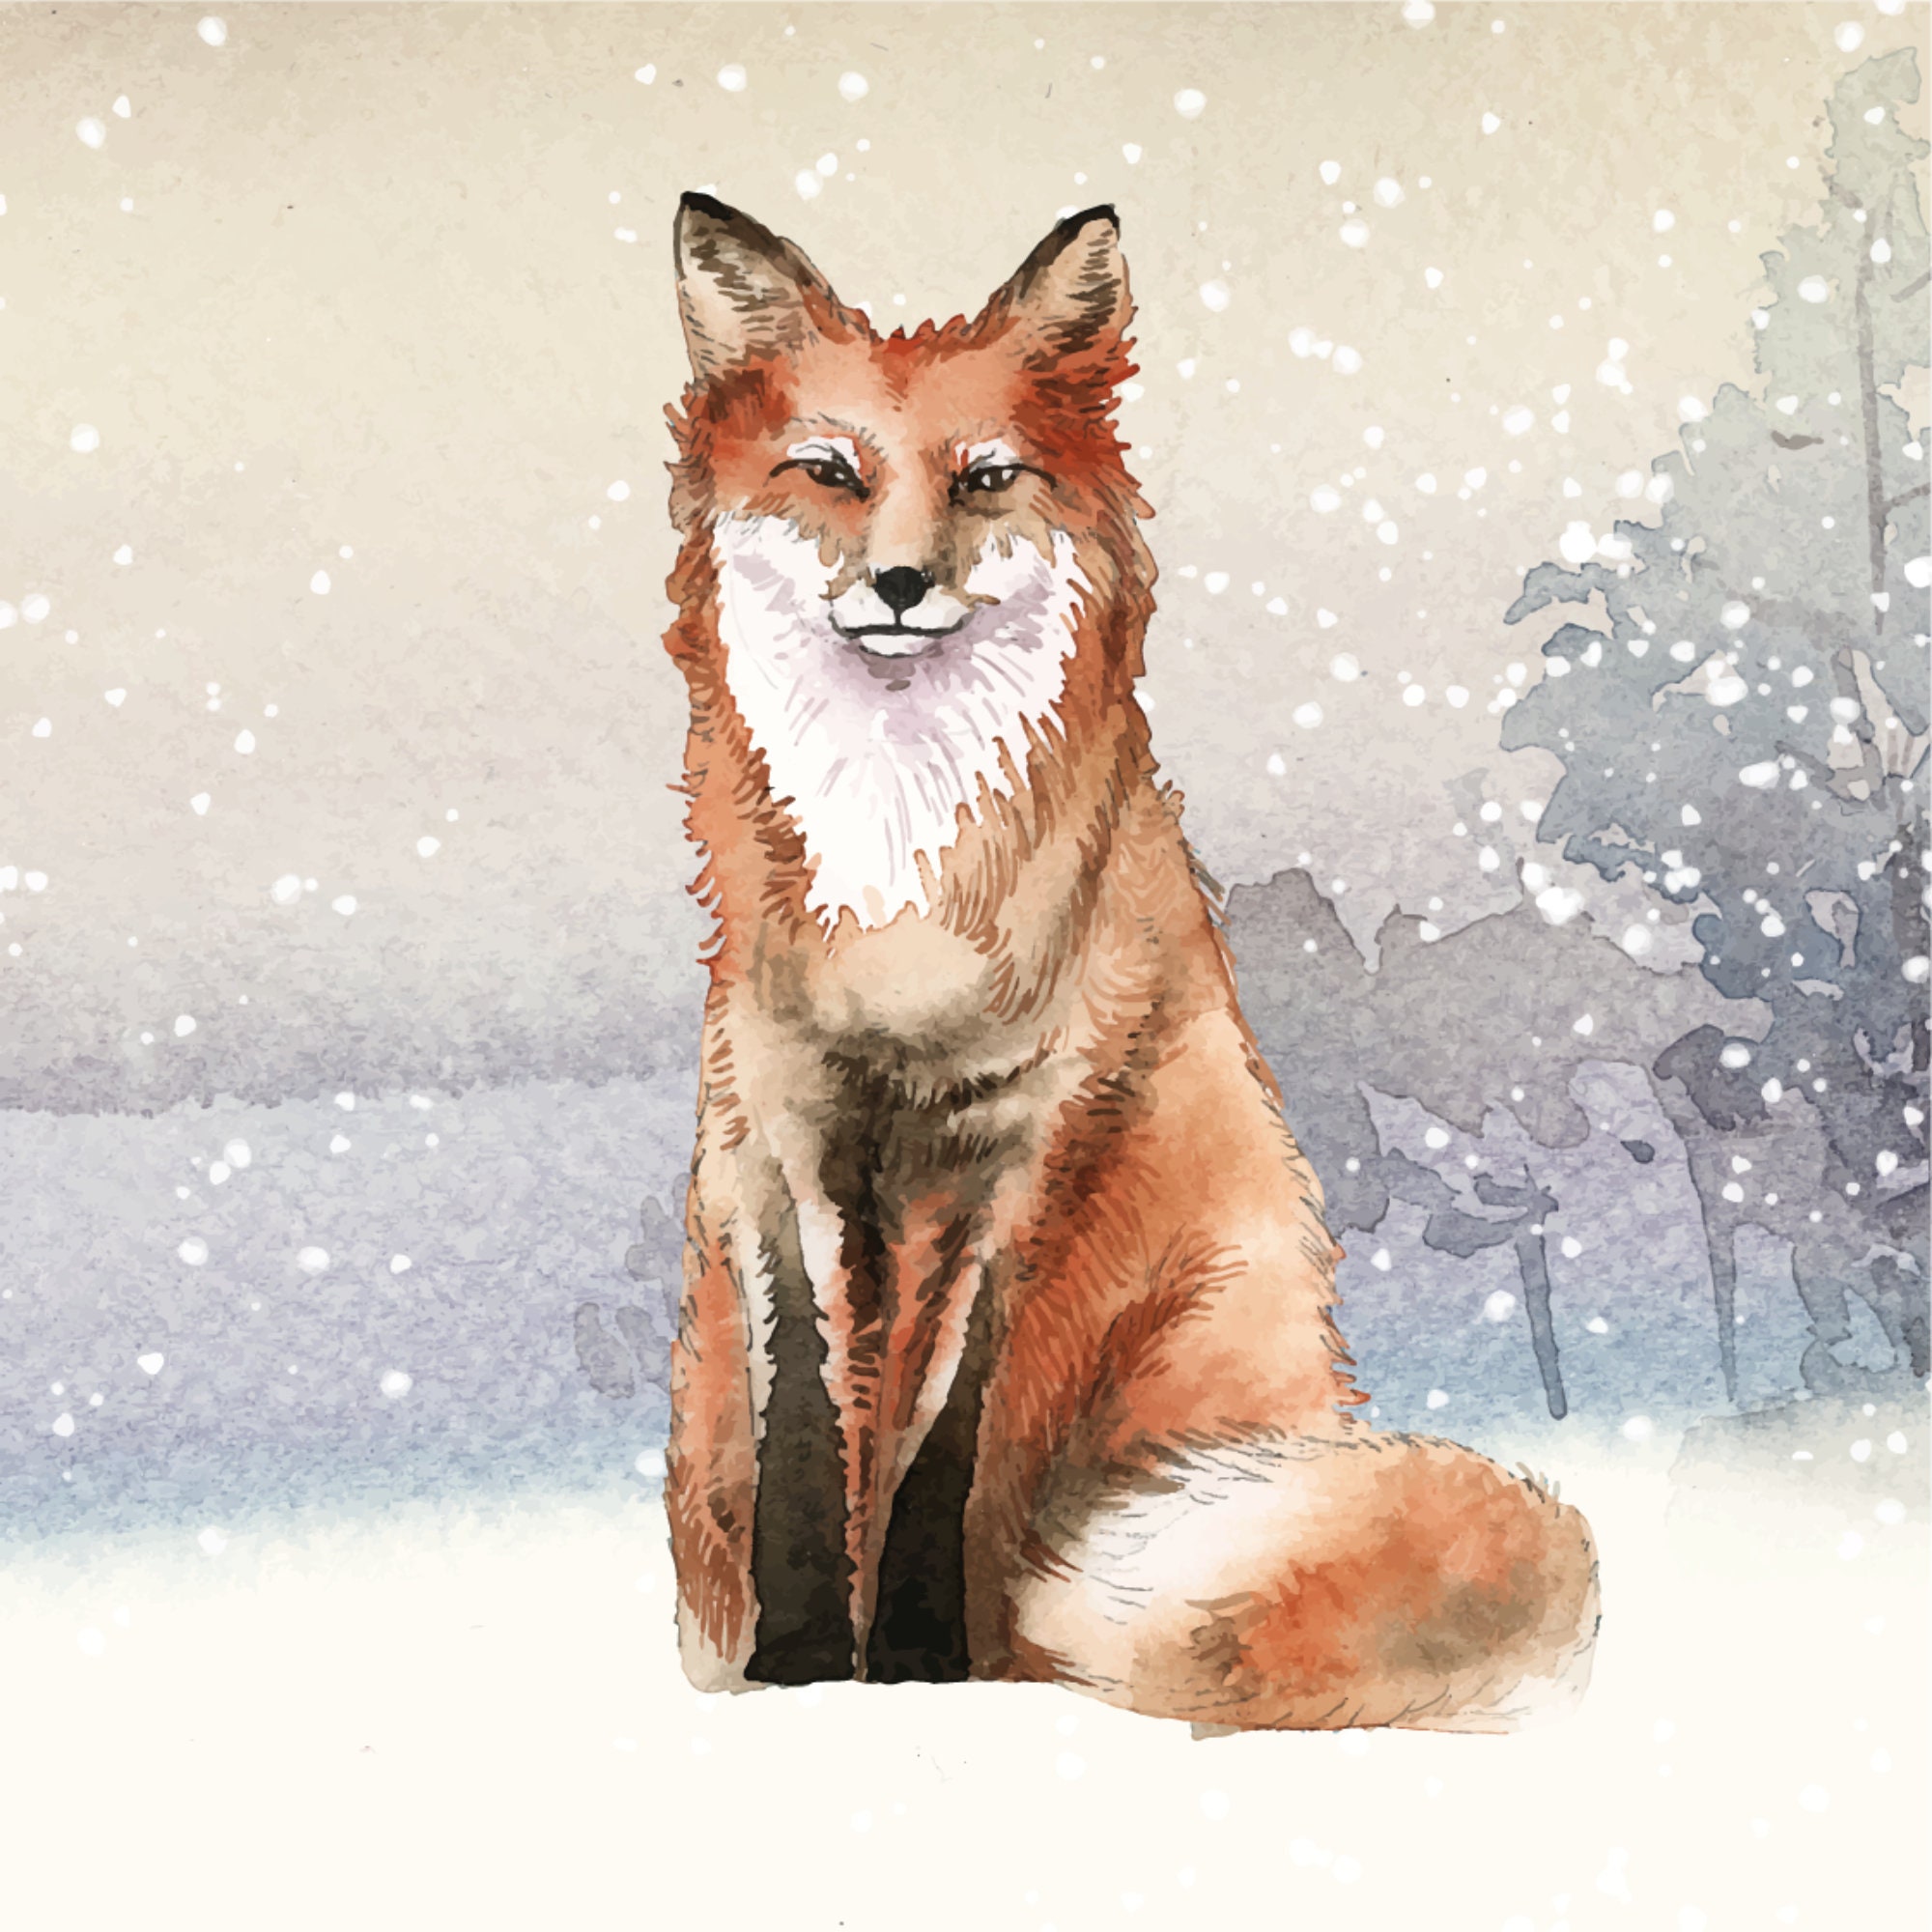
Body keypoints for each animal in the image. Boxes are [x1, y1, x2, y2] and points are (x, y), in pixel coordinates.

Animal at [658, 190, 1600, 1730]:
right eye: (831, 473)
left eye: (984, 478)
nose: (901, 583)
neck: (904, 908)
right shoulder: (772, 1136)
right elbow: (802, 1436)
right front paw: (799, 1673)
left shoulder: (1026, 1151)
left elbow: (943, 1446)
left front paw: (911, 1664)